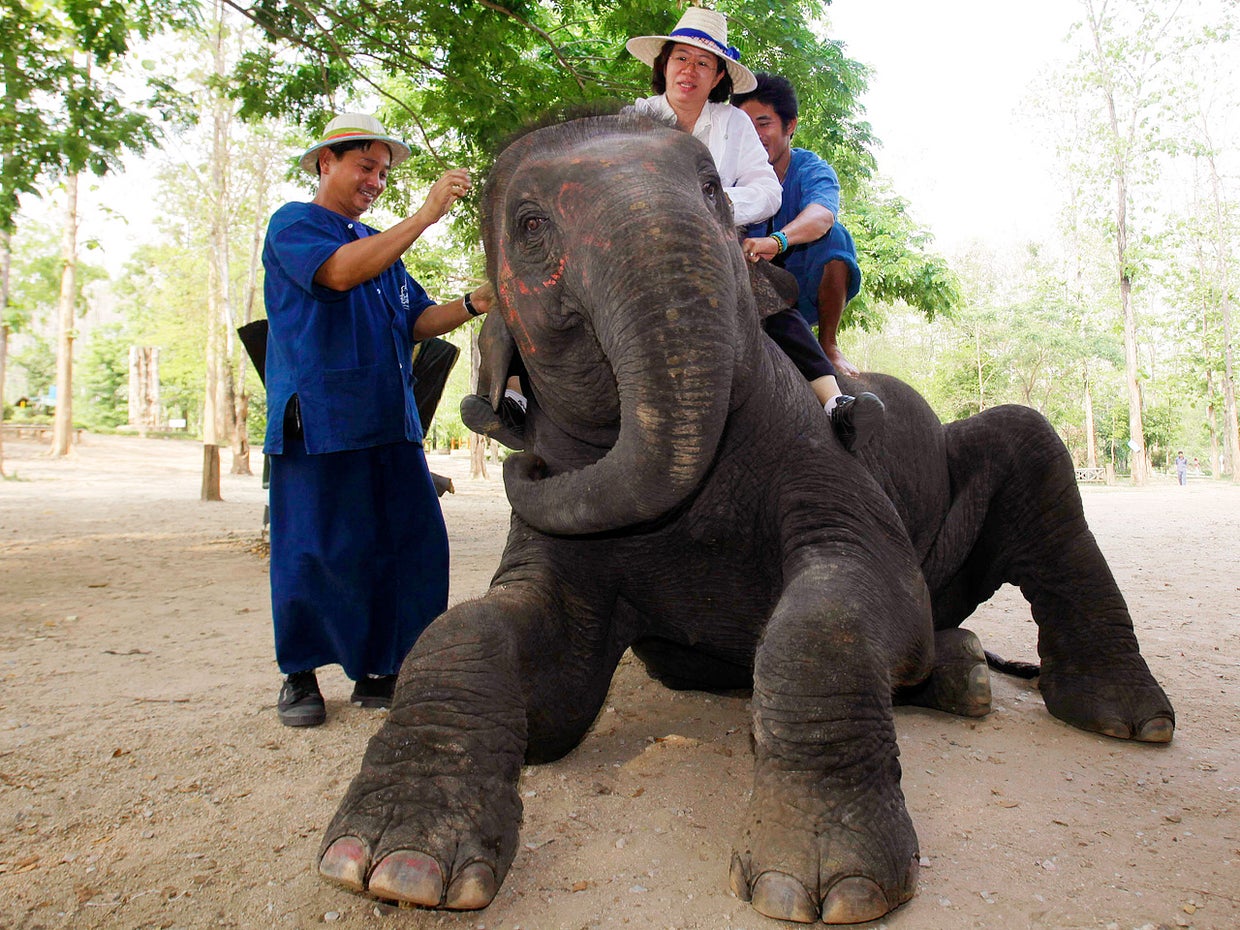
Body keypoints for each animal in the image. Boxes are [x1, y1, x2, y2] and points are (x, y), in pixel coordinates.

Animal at [316, 111, 1174, 925]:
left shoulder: (813, 452)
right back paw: (961, 674)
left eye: (712, 192)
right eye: (529, 226)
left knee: (1031, 457)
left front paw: (826, 884)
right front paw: (392, 866)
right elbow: (514, 656)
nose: (513, 444)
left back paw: (1124, 719)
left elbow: (856, 603)